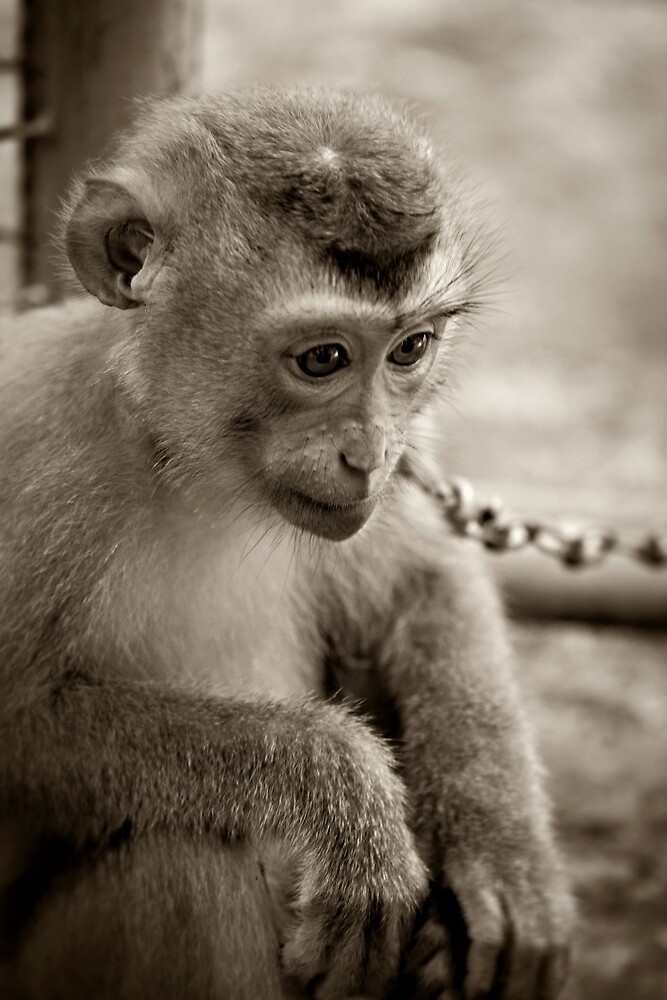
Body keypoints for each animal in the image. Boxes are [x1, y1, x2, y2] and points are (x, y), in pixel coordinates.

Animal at [0, 88, 573, 1000]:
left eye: (411, 349)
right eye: (322, 358)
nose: (370, 455)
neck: (186, 464)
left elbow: (425, 579)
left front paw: (501, 850)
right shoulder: (47, 460)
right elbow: (18, 720)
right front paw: (337, 785)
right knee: (186, 873)